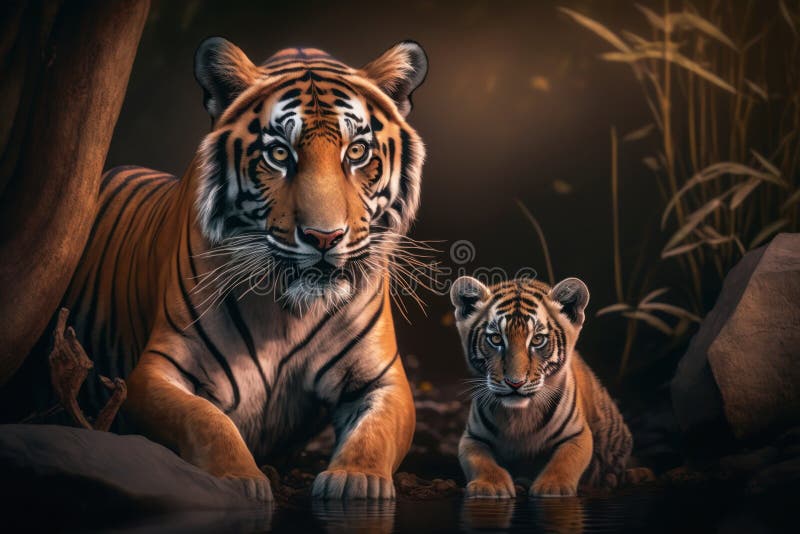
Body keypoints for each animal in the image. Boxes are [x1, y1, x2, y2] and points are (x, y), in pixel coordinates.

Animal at [52, 37, 429, 501]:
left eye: (356, 151)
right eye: (279, 153)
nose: (324, 237)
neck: (289, 315)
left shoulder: (382, 379)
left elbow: (375, 431)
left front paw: (356, 480)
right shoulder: (156, 371)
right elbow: (206, 420)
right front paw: (240, 480)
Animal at [450, 275, 634, 497]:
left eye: (537, 339)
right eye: (495, 338)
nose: (515, 382)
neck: (519, 415)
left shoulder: (578, 434)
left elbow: (565, 460)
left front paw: (553, 487)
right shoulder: (472, 437)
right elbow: (479, 460)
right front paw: (489, 486)